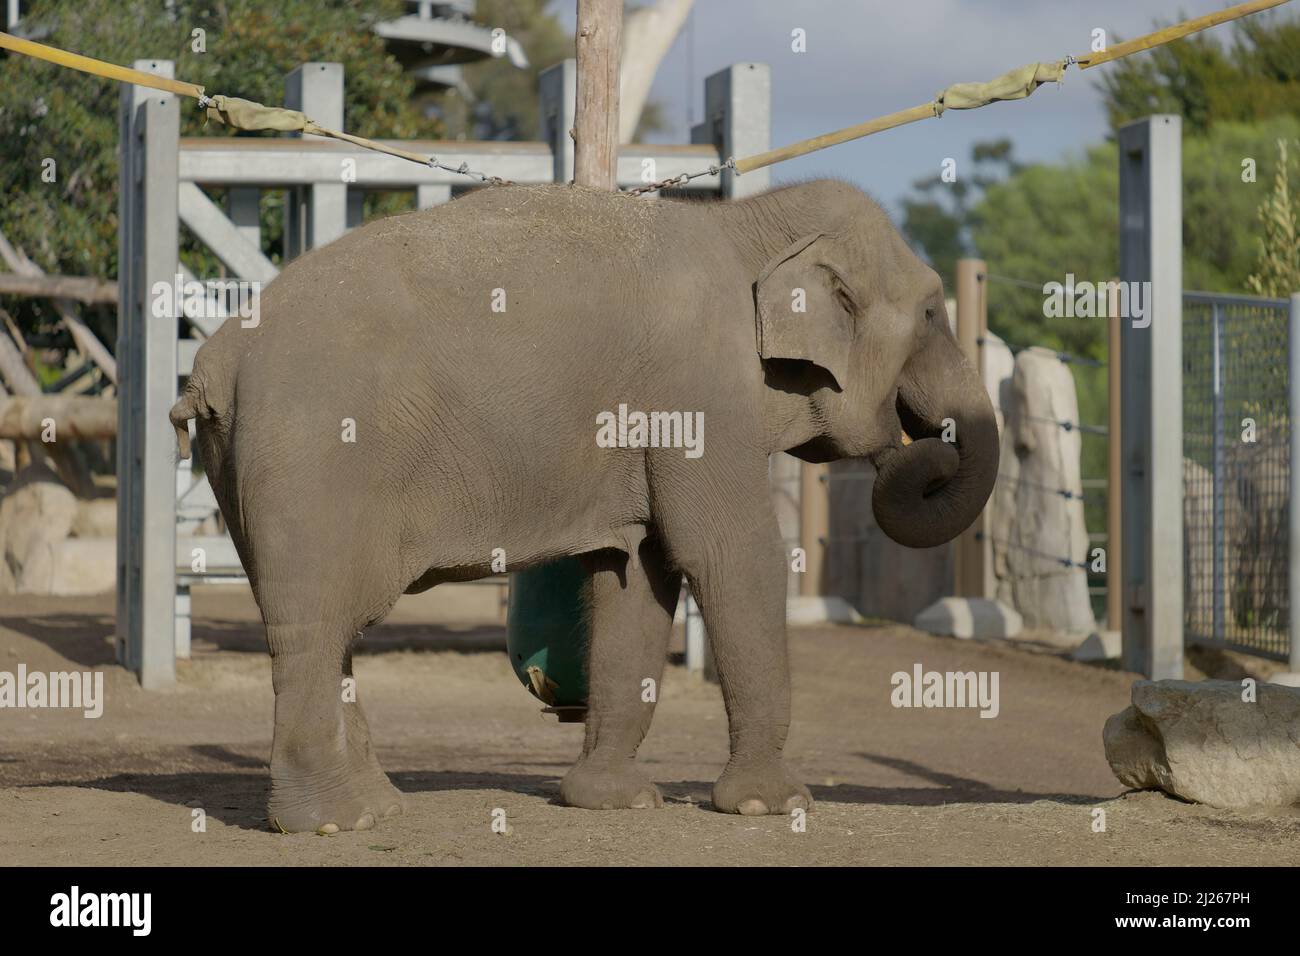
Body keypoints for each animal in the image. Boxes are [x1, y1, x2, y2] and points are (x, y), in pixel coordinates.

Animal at [169, 178, 999, 833]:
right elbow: (727, 554)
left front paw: (615, 801)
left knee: (327, 622)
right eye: (932, 313)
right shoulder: (699, 390)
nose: (913, 449)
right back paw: (332, 823)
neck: (746, 224)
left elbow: (642, 575)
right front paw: (774, 806)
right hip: (310, 453)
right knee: (313, 621)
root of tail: (215, 361)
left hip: (244, 465)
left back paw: (379, 808)